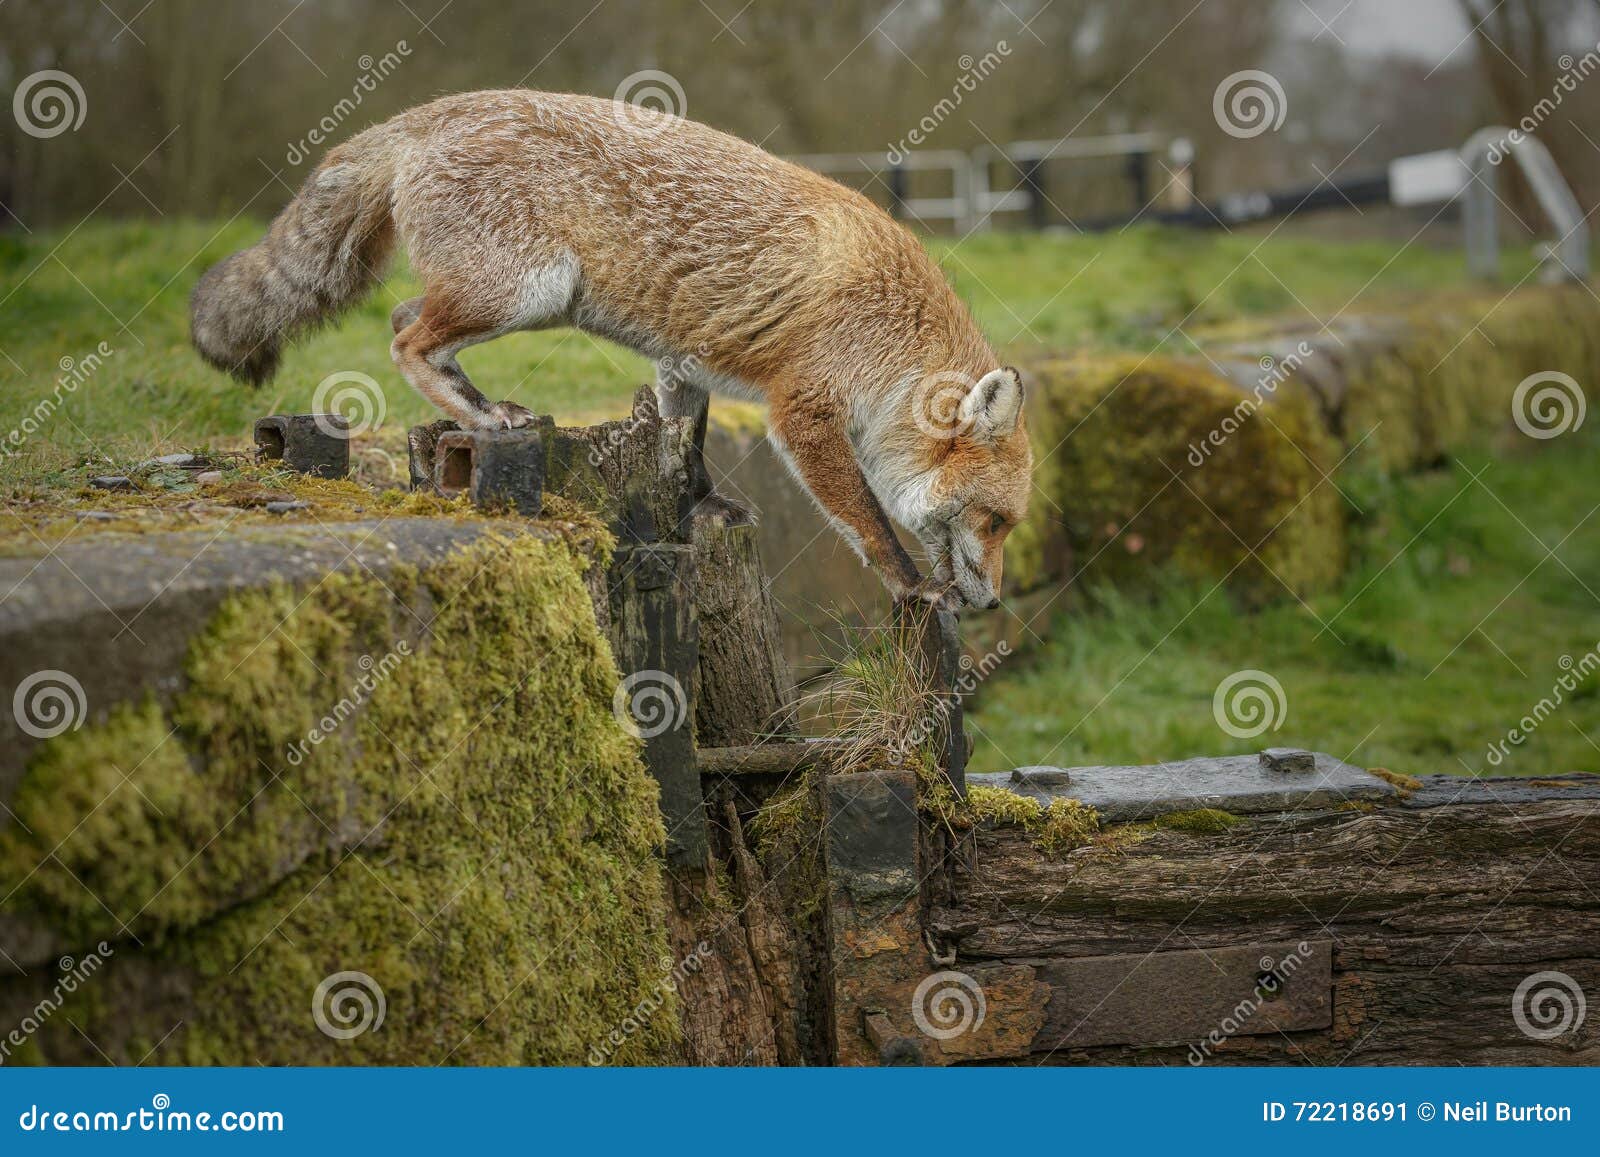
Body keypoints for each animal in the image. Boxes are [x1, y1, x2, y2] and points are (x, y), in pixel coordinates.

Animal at [190, 90, 1031, 609]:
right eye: (995, 523)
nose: (993, 603)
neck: (891, 334)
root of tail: (434, 110)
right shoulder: (804, 409)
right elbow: (865, 517)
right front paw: (911, 585)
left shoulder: (685, 362)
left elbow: (682, 449)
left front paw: (698, 507)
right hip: (526, 289)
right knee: (404, 337)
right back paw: (481, 413)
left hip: (507, 293)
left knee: (403, 311)